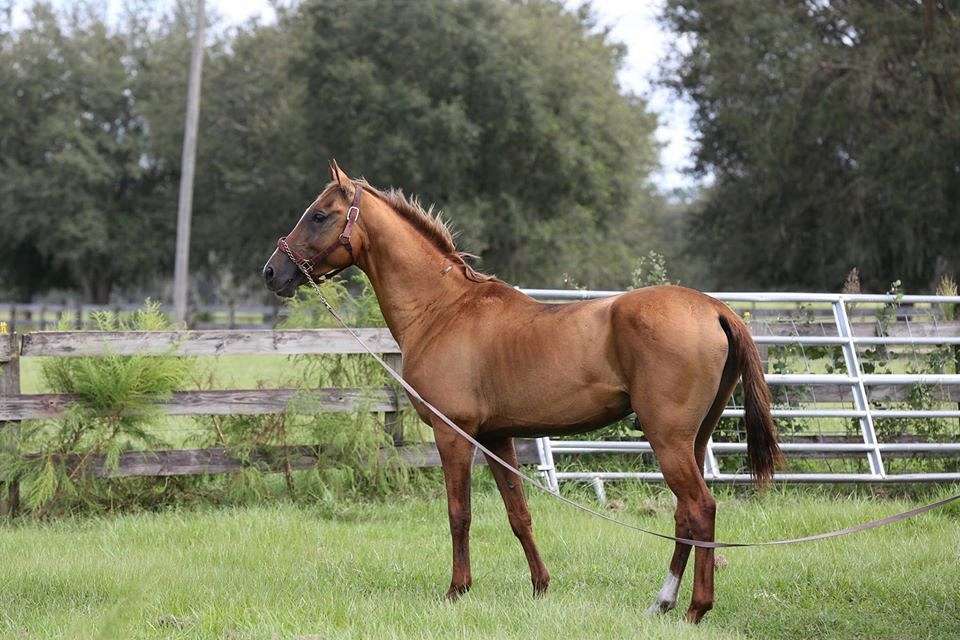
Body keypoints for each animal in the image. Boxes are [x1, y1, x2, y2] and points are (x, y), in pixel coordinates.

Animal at [262, 161, 782, 623]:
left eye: (319, 215)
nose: (272, 272)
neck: (442, 309)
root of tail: (714, 308)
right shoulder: (497, 437)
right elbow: (519, 514)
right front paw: (540, 586)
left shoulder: (454, 436)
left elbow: (459, 512)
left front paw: (457, 589)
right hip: (693, 439)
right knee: (684, 515)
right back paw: (663, 602)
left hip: (668, 438)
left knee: (700, 509)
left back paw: (696, 608)